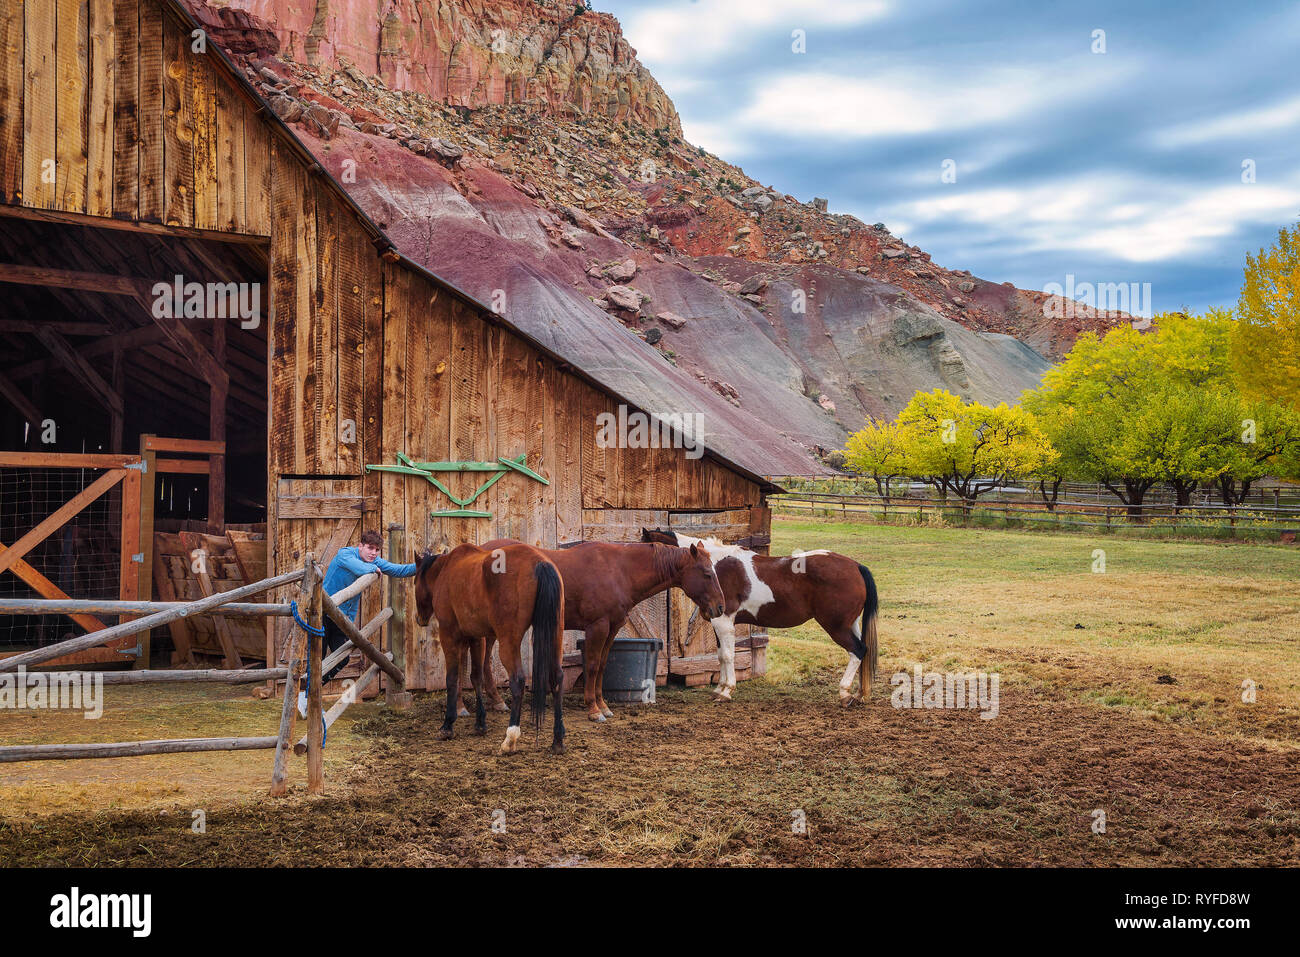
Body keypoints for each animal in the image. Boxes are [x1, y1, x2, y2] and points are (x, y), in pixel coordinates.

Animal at [413, 543, 566, 755]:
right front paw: (480, 724)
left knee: (518, 681)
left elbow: (452, 678)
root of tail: (540, 563)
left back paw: (510, 739)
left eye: (415, 582)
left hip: (509, 642)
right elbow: (476, 677)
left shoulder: (449, 635)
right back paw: (558, 740)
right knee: (557, 677)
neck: (446, 569)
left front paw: (447, 725)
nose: (420, 619)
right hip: (555, 635)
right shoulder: (477, 638)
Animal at [477, 539, 726, 722]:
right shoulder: (598, 626)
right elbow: (593, 665)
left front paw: (603, 705)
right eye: (706, 573)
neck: (619, 571)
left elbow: (604, 665)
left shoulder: (612, 627)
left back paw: (496, 701)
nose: (720, 607)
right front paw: (593, 709)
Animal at [641, 528, 879, 705]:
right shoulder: (718, 624)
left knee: (857, 650)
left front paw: (726, 691)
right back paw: (858, 694)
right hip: (851, 624)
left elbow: (728, 655)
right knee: (861, 651)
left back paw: (845, 693)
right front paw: (719, 688)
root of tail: (855, 566)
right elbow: (721, 656)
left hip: (836, 627)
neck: (714, 567)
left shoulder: (723, 622)